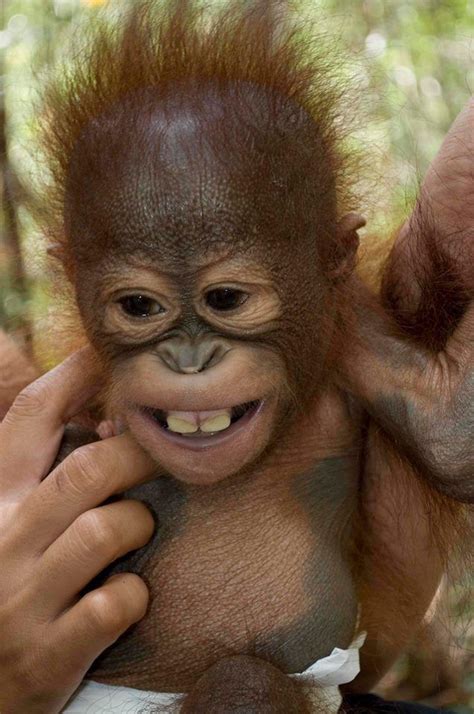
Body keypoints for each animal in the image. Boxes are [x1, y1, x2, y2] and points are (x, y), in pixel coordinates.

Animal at [24, 1, 472, 711]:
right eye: (139, 306)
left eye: (227, 298)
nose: (189, 359)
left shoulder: (347, 341)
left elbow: (451, 433)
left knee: (242, 678)